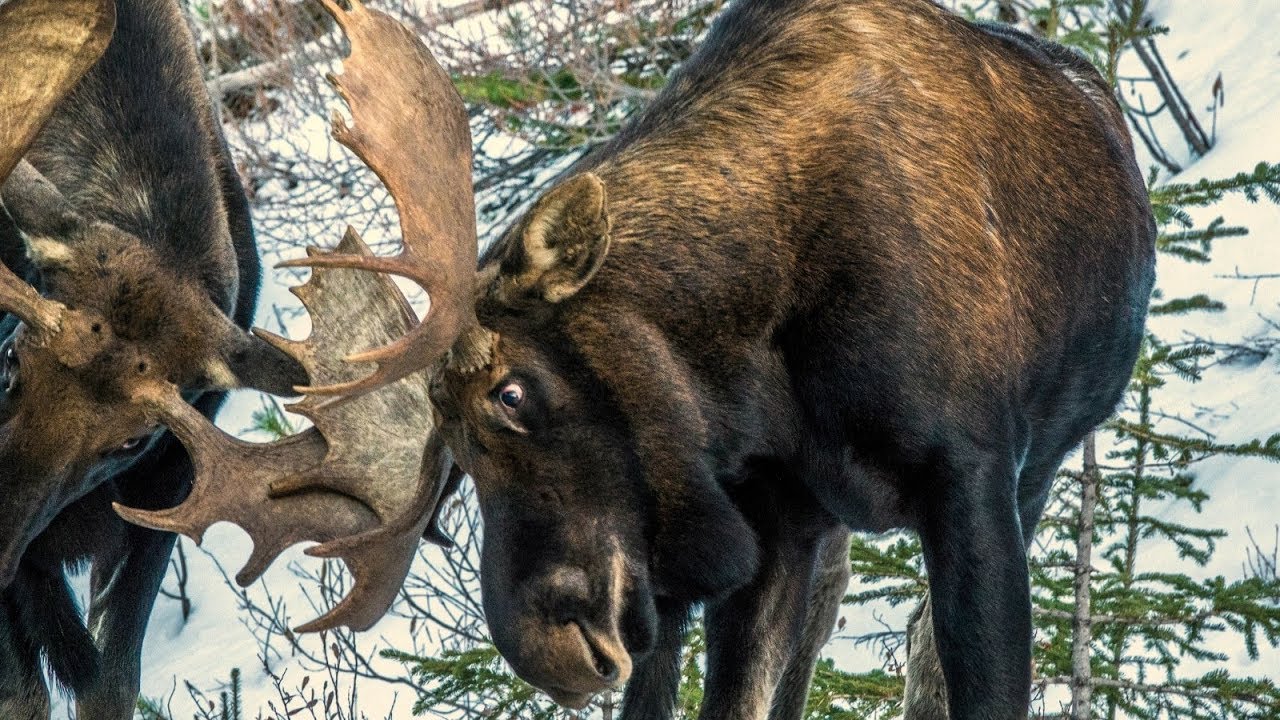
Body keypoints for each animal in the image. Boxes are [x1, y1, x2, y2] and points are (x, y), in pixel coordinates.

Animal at [113, 0, 1157, 718]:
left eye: (513, 393)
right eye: (449, 472)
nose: (544, 646)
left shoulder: (975, 479)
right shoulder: (774, 521)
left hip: (1029, 470)